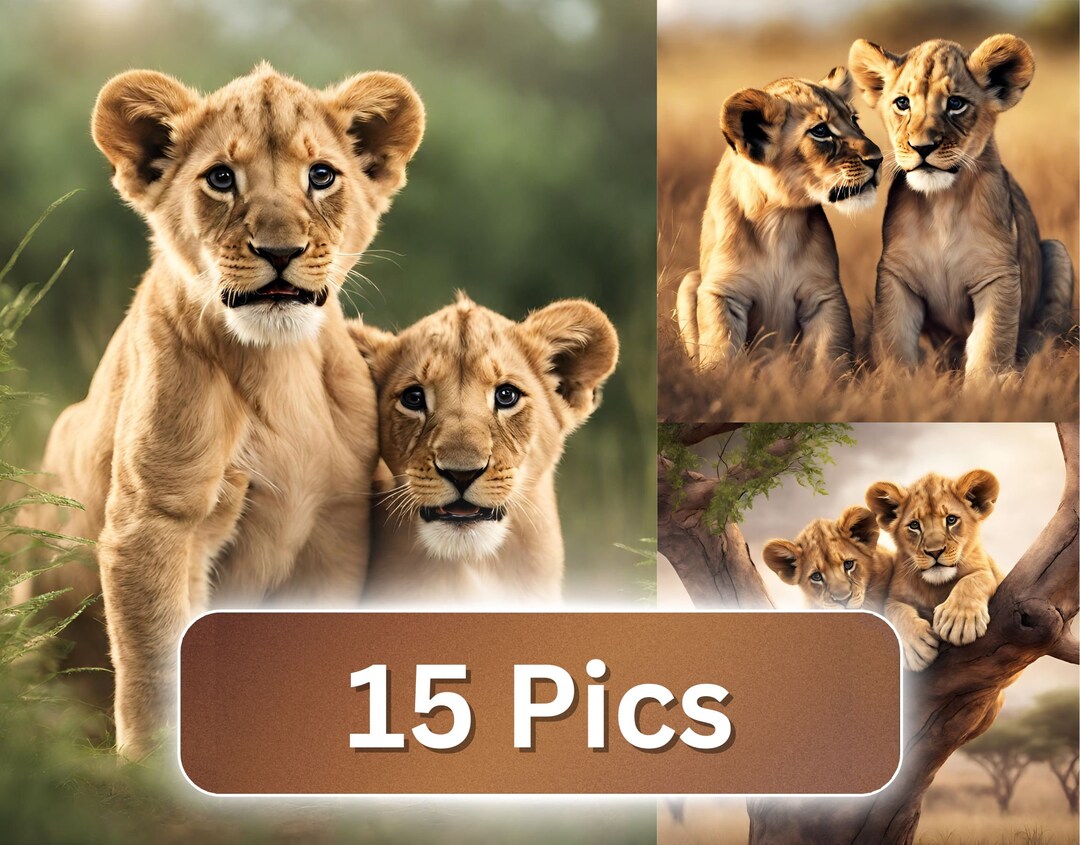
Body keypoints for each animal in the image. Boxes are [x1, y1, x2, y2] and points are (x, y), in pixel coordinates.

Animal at [17, 63, 424, 757]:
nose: (280, 251)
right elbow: (157, 660)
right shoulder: (157, 518)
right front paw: (154, 766)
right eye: (222, 178)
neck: (278, 366)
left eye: (322, 175)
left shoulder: (334, 530)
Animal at [676, 67, 882, 371]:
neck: (778, 217)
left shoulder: (825, 293)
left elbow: (830, 357)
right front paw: (716, 380)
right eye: (820, 131)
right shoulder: (721, 290)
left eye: (854, 120)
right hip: (689, 281)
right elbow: (720, 346)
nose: (878, 159)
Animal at [849, 35, 1076, 379]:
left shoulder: (998, 273)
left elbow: (991, 337)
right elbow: (893, 337)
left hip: (1057, 251)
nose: (922, 147)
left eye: (955, 104)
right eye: (902, 103)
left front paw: (990, 384)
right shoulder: (896, 274)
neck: (941, 204)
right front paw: (894, 382)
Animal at [866, 470, 1003, 671]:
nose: (935, 551)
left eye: (951, 519)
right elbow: (894, 610)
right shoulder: (894, 597)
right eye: (914, 525)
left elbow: (974, 579)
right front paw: (914, 647)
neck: (935, 586)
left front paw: (957, 621)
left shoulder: (990, 570)